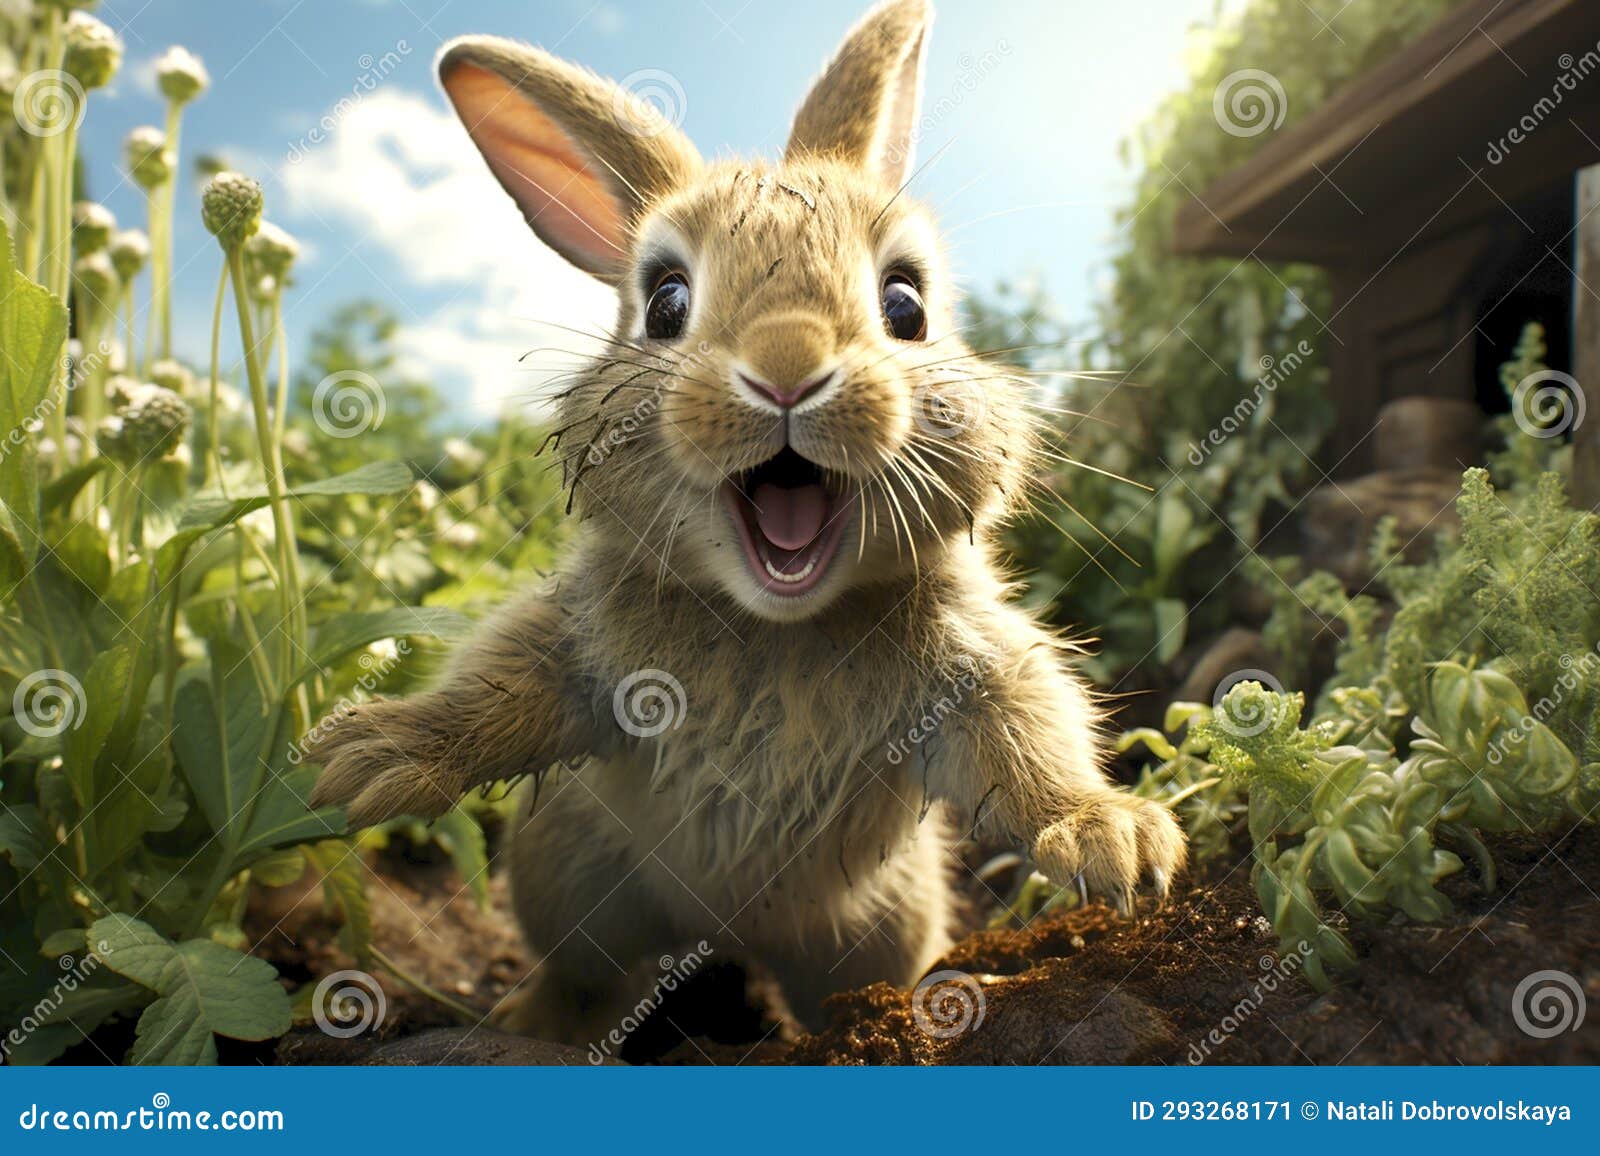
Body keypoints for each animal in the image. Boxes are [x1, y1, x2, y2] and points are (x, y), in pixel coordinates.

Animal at [306, 0, 1186, 1040]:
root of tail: (723, 936)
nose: (787, 368)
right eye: (665, 302)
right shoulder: (577, 645)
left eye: (906, 304)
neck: (774, 624)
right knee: (589, 976)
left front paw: (1110, 837)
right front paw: (367, 758)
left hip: (879, 915)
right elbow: (496, 690)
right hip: (569, 875)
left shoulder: (978, 671)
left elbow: (1028, 733)